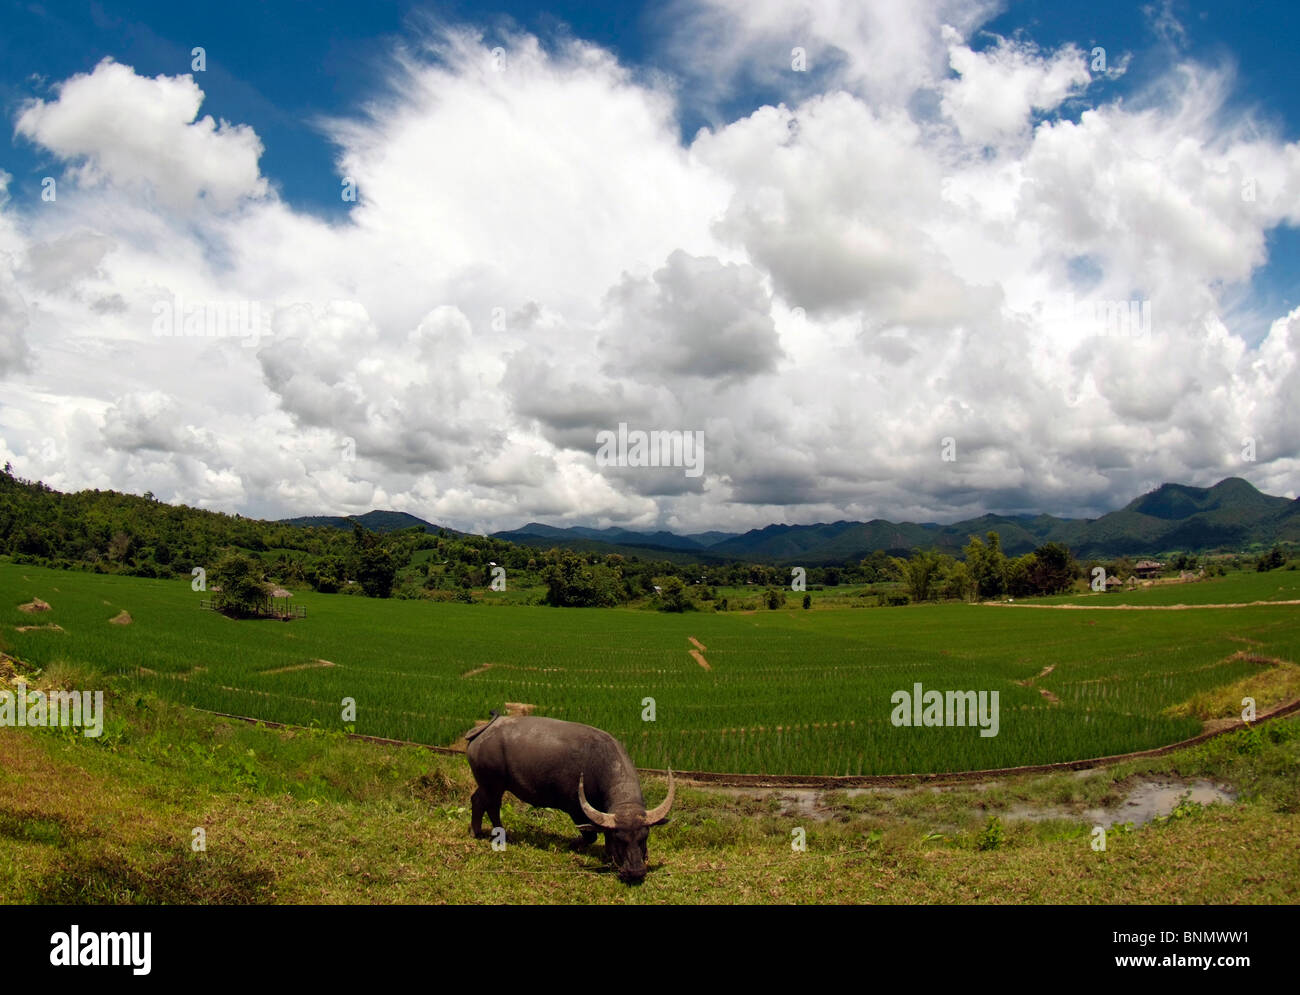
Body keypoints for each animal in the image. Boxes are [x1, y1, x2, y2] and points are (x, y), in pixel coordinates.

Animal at [464, 714, 675, 883]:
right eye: (619, 839)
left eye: (644, 837)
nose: (635, 872)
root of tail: (485, 729)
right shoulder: (576, 810)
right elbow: (590, 836)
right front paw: (573, 844)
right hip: (491, 783)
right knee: (482, 802)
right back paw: (477, 832)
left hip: (495, 785)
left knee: (489, 804)